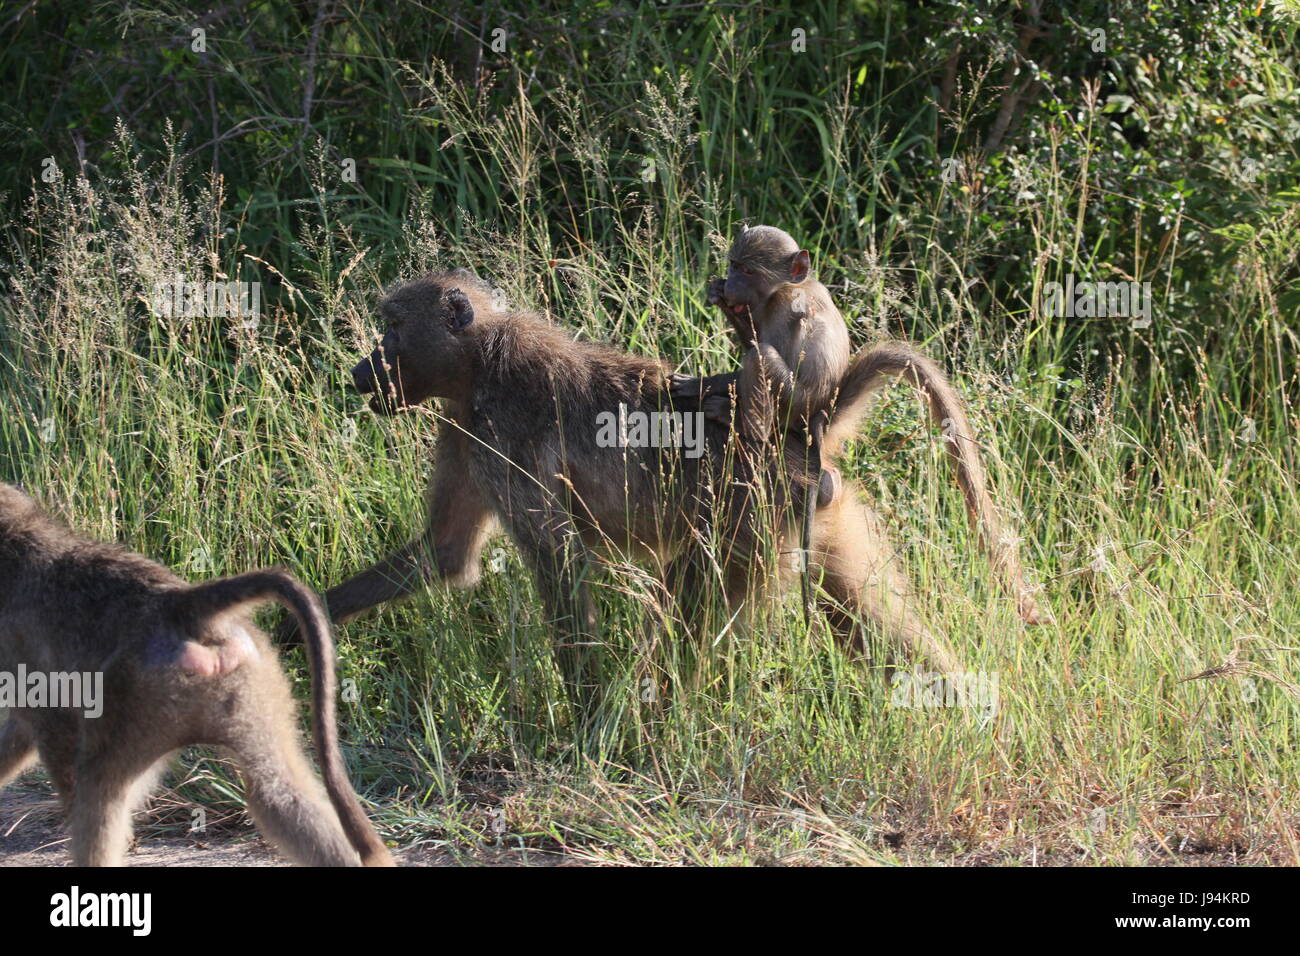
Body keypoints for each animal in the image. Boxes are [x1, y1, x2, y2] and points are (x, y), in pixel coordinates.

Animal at [0, 483, 394, 867]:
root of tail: (182, 605)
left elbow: (50, 732)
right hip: (248, 682)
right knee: (276, 790)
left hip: (136, 696)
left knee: (100, 785)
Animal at [278, 268, 971, 712]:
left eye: (392, 329)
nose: (361, 370)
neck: (479, 363)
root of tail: (797, 438)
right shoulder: (462, 431)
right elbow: (446, 554)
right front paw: (293, 628)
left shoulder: (498, 431)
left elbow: (558, 561)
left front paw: (583, 724)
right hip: (812, 518)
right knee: (869, 615)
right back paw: (969, 709)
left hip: (746, 522)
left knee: (688, 615)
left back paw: (642, 727)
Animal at [674, 227, 1046, 626]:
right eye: (733, 264)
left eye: (748, 271)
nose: (730, 285)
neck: (788, 287)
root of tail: (824, 415)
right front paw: (706, 371)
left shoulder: (788, 307)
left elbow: (769, 345)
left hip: (794, 406)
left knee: (762, 359)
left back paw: (745, 427)